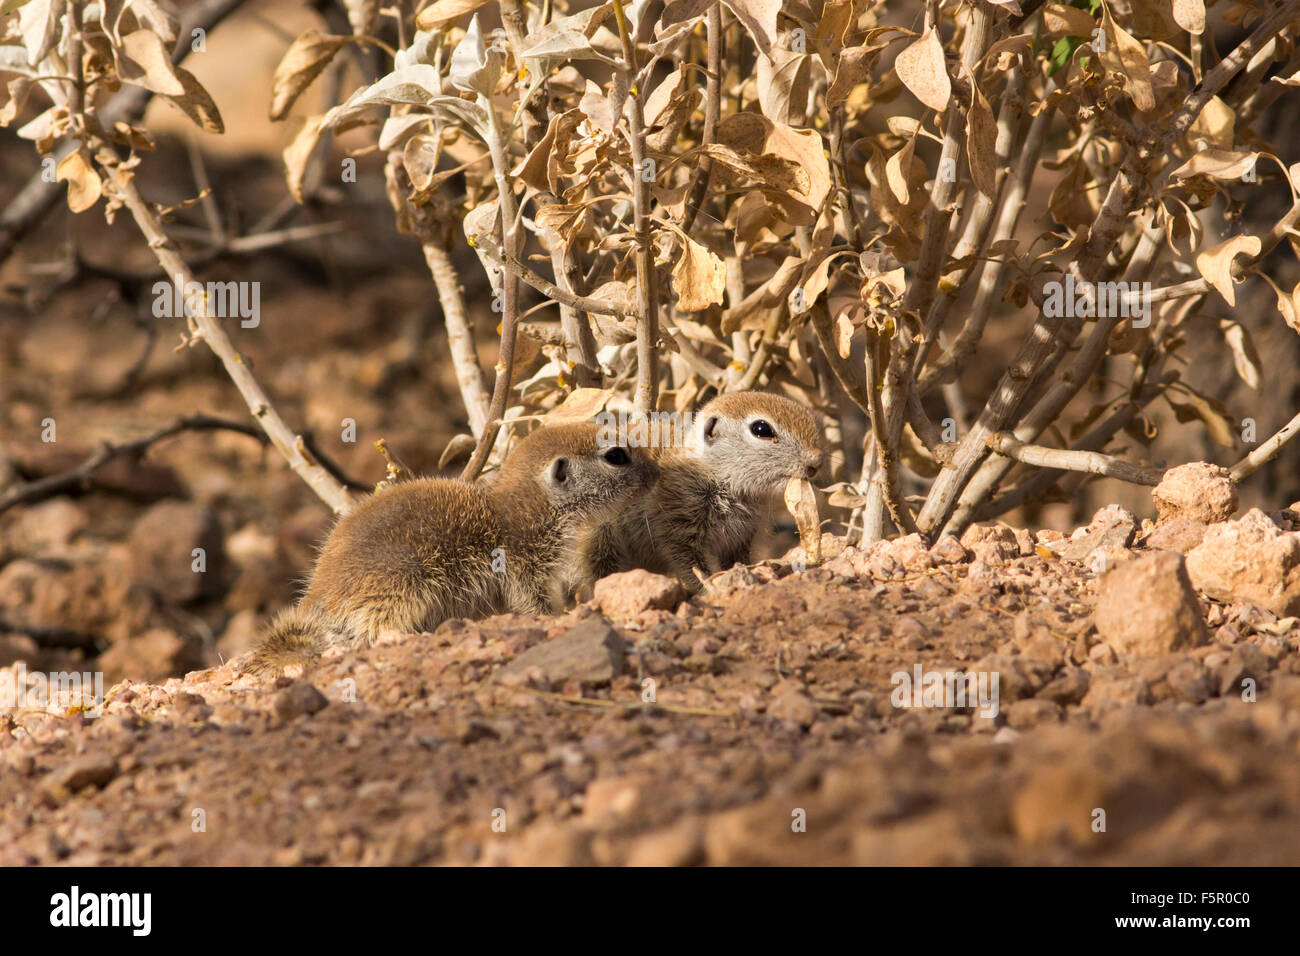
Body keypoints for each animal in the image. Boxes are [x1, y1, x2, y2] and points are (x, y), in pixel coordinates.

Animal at [249, 423, 658, 673]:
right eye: (616, 455)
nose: (657, 473)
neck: (523, 507)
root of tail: (316, 597)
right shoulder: (521, 563)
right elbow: (529, 601)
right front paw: (558, 616)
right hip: (401, 585)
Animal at [582, 391, 826, 592]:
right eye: (761, 429)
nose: (816, 463)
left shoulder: (740, 538)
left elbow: (738, 561)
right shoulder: (679, 529)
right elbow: (691, 565)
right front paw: (707, 588)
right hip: (601, 539)